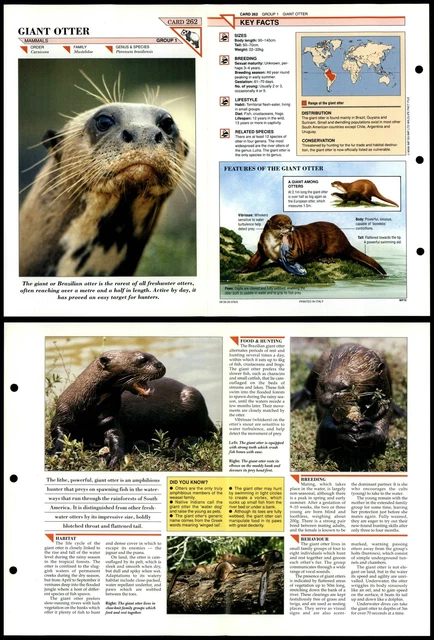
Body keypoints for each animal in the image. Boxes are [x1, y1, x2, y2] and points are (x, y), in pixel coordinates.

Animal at [236, 214, 386, 275]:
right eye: (281, 224)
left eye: (290, 222)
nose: (290, 227)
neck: (273, 245)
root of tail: (346, 241)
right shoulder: (262, 247)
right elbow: (255, 259)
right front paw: (242, 269)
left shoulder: (294, 244)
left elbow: (296, 253)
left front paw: (291, 259)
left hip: (333, 244)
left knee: (337, 254)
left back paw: (326, 258)